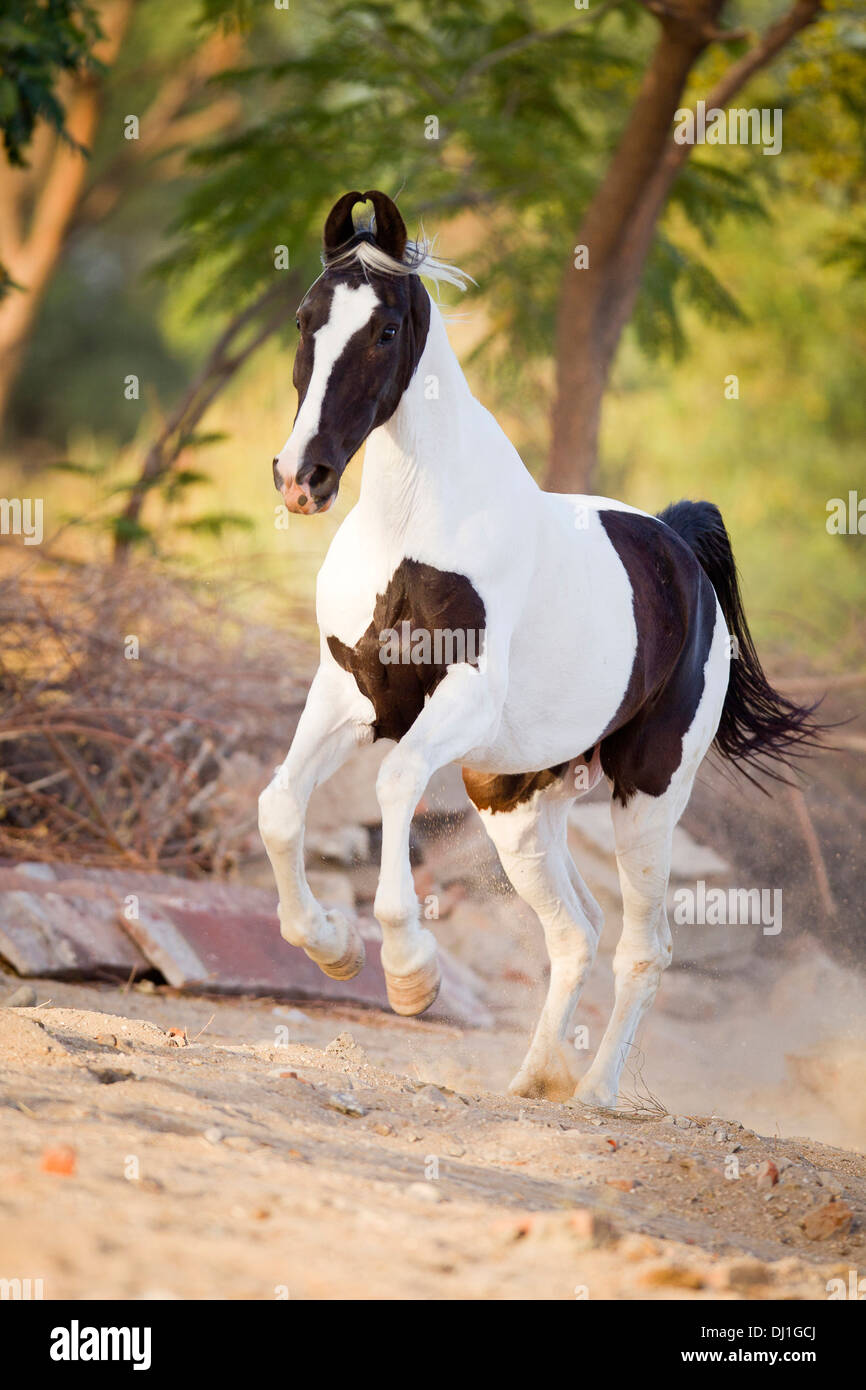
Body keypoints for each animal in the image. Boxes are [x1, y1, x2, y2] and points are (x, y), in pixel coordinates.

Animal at [259, 189, 819, 1108]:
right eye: (306, 320)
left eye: (385, 331)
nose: (301, 478)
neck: (413, 529)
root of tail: (678, 541)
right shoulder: (351, 691)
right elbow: (279, 806)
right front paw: (331, 946)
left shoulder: (460, 698)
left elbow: (396, 780)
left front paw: (409, 974)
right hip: (516, 803)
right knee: (575, 934)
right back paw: (533, 1079)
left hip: (648, 797)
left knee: (642, 947)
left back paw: (593, 1094)